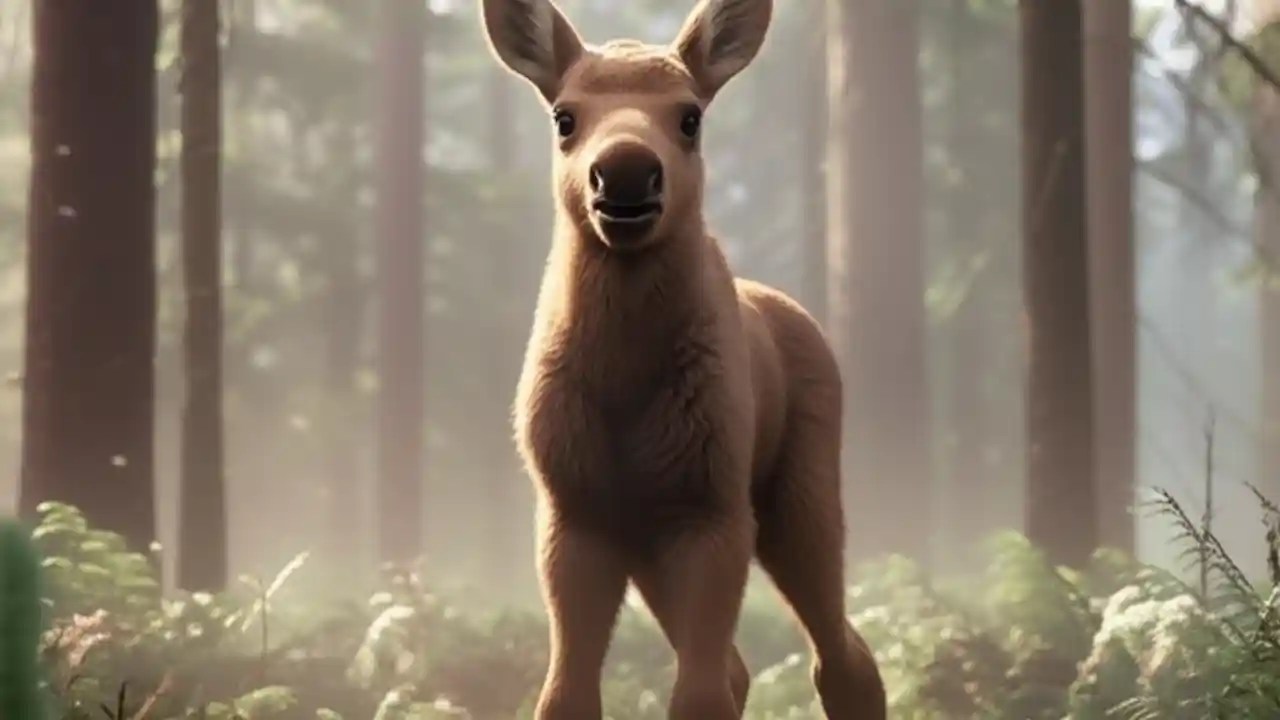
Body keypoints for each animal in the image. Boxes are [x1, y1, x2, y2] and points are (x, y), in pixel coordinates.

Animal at [480, 0, 887, 717]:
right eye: (564, 116)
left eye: (690, 116)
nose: (625, 172)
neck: (625, 383)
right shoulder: (573, 512)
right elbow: (566, 693)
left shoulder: (712, 507)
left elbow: (698, 696)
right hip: (650, 539)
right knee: (743, 666)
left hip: (799, 491)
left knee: (841, 656)